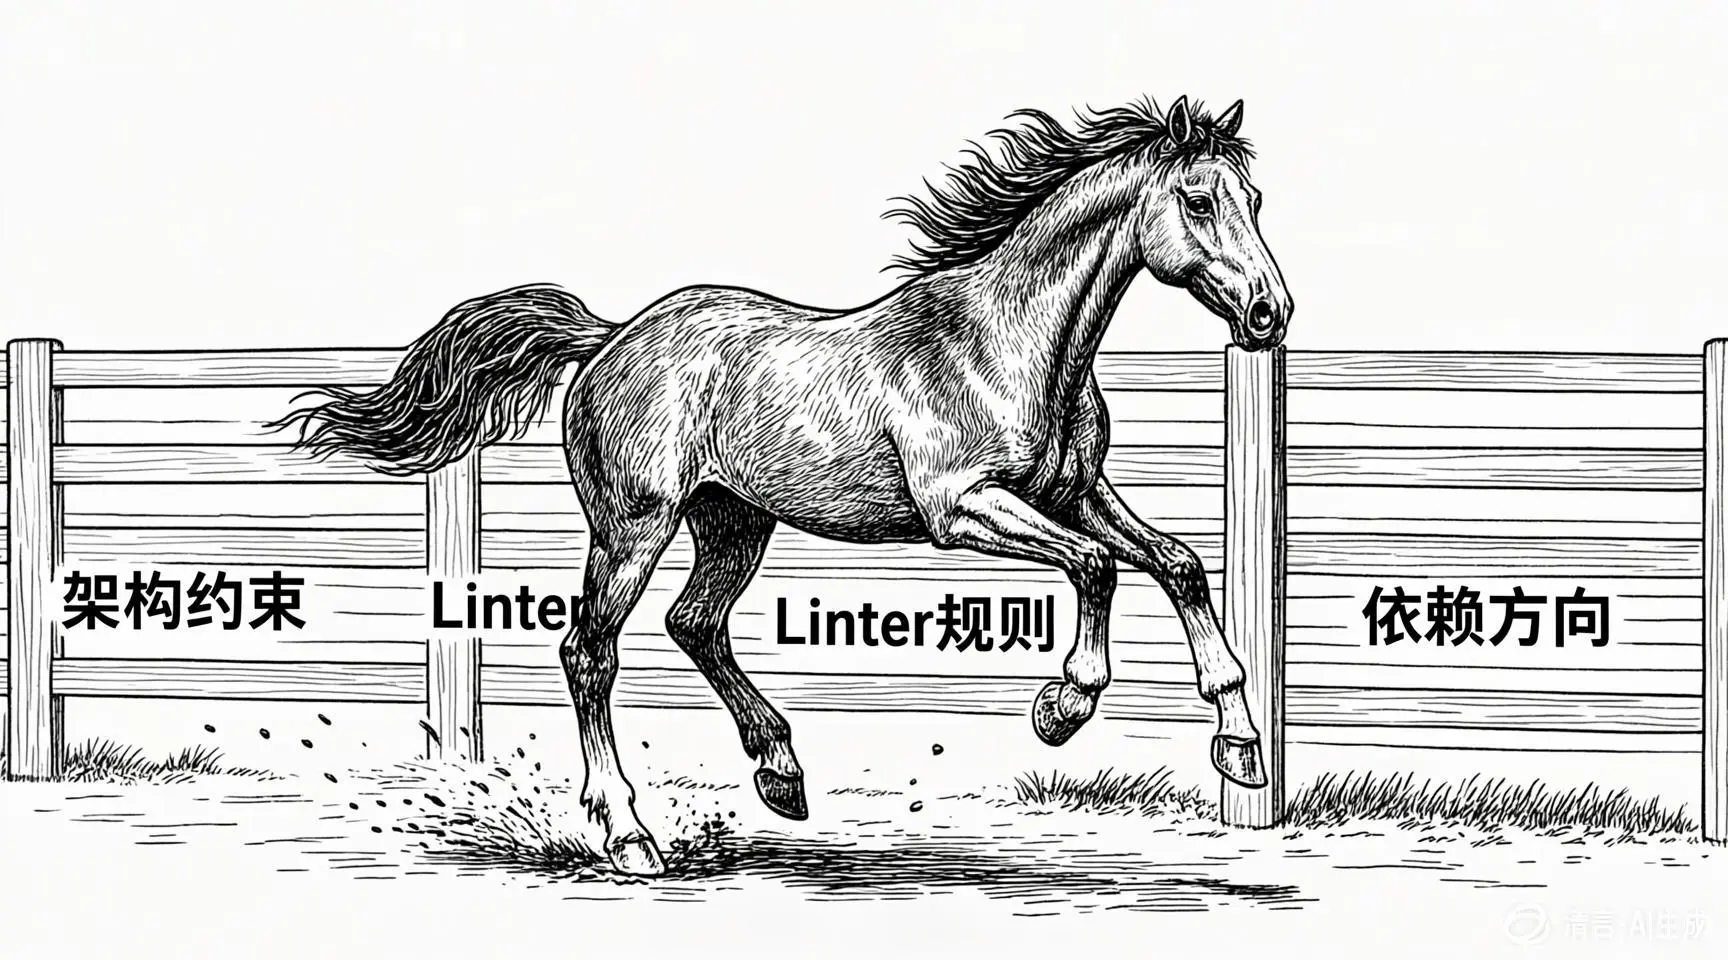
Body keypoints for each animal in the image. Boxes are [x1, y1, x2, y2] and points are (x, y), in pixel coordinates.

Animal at [275, 95, 1292, 876]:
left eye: (1254, 195)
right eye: (1199, 198)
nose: (1269, 314)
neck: (1012, 342)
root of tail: (608, 339)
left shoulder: (1075, 493)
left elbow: (1178, 563)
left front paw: (1240, 747)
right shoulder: (964, 508)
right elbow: (1096, 569)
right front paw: (1061, 709)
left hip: (733, 523)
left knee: (694, 623)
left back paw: (780, 773)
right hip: (634, 528)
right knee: (590, 652)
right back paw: (630, 836)